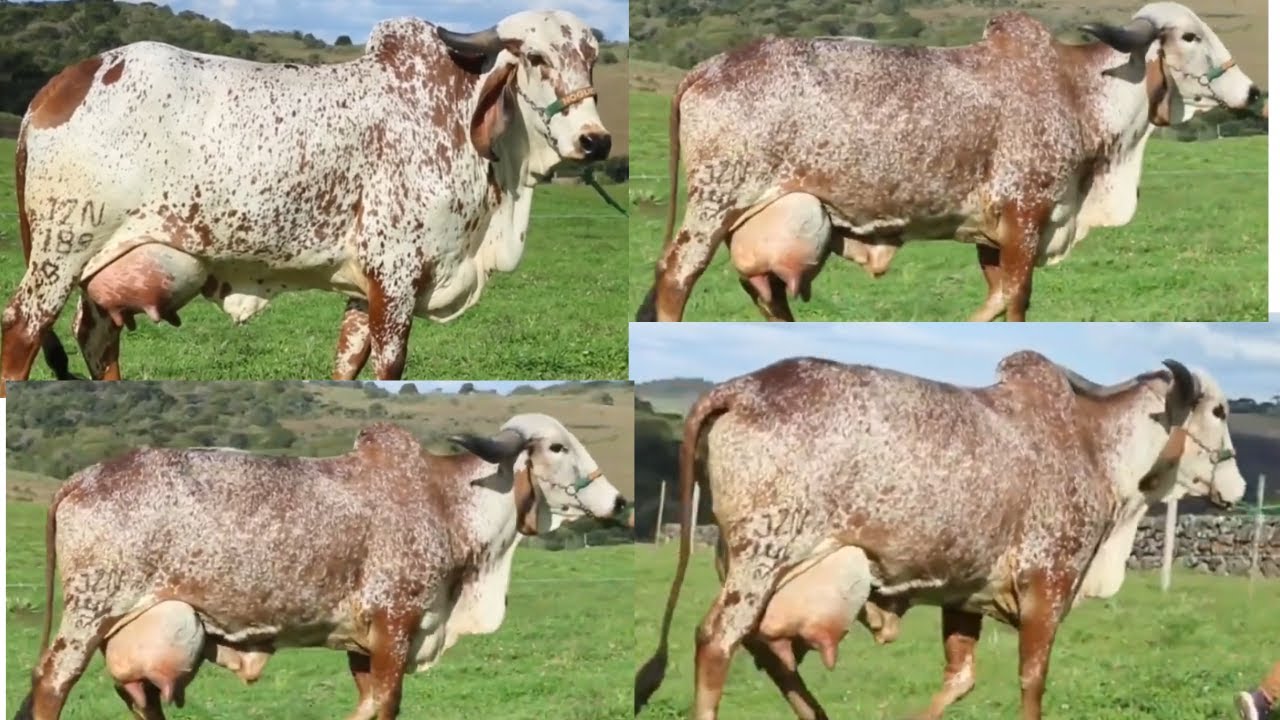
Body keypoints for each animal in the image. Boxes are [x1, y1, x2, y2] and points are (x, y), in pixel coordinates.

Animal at [0, 9, 611, 395]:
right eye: (535, 57)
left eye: (592, 58)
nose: (595, 140)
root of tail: (62, 83)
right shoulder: (396, 274)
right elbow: (390, 366)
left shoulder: (366, 287)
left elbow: (347, 364)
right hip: (61, 252)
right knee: (21, 335)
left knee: (97, 342)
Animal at [14, 414, 632, 720]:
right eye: (557, 448)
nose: (619, 501)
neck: (449, 501)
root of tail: (82, 477)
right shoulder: (395, 624)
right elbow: (386, 704)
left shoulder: (362, 643)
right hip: (90, 614)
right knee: (52, 683)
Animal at [634, 2, 1260, 323]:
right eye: (1189, 36)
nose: (1253, 92)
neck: (1080, 91)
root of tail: (706, 67)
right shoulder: (1025, 215)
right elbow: (1016, 298)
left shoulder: (993, 234)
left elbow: (1002, 299)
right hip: (714, 205)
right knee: (676, 277)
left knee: (765, 292)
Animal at [634, 352, 1246, 720]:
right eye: (1218, 411)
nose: (1237, 485)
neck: (1094, 447)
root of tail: (739, 389)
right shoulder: (1047, 587)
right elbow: (1031, 680)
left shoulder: (965, 595)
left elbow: (961, 678)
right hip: (761, 560)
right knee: (718, 641)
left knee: (766, 649)